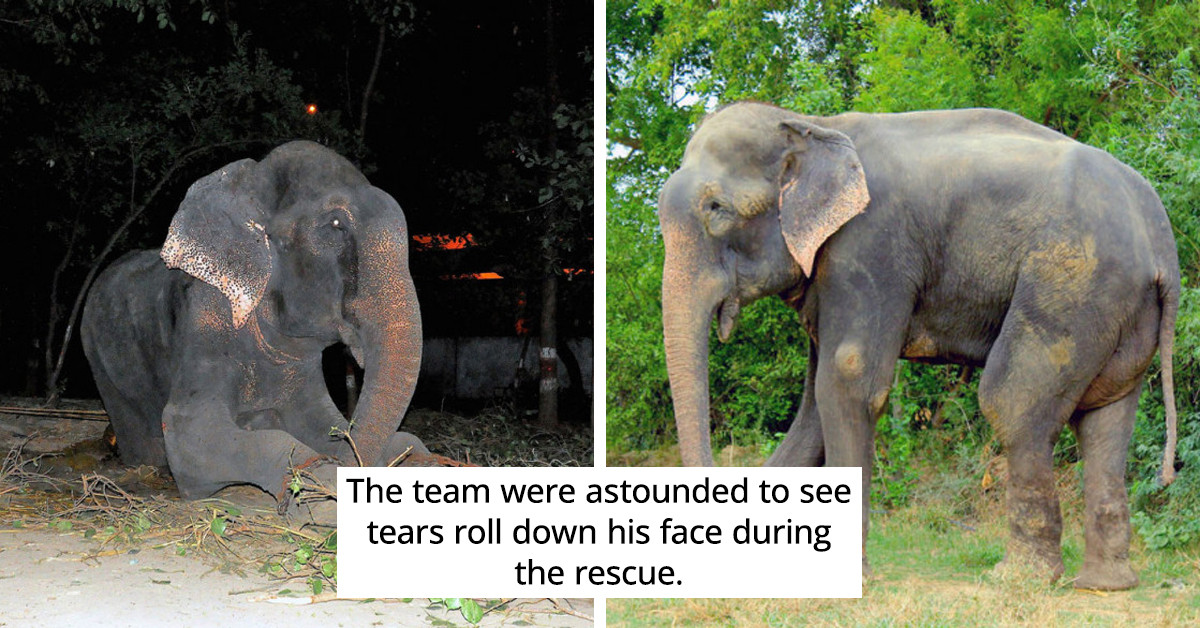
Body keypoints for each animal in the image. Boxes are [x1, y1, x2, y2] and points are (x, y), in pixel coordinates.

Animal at [82, 140, 426, 508]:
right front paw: (317, 490)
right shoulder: (206, 317)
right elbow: (187, 430)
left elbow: (323, 421)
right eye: (335, 223)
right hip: (98, 357)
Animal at [658, 101, 1179, 590]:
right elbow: (814, 409)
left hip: (1073, 283)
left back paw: (1020, 578)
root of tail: (1162, 244)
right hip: (1121, 309)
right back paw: (1104, 584)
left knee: (1011, 402)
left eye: (716, 209)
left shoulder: (869, 247)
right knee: (1105, 417)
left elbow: (847, 379)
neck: (811, 123)